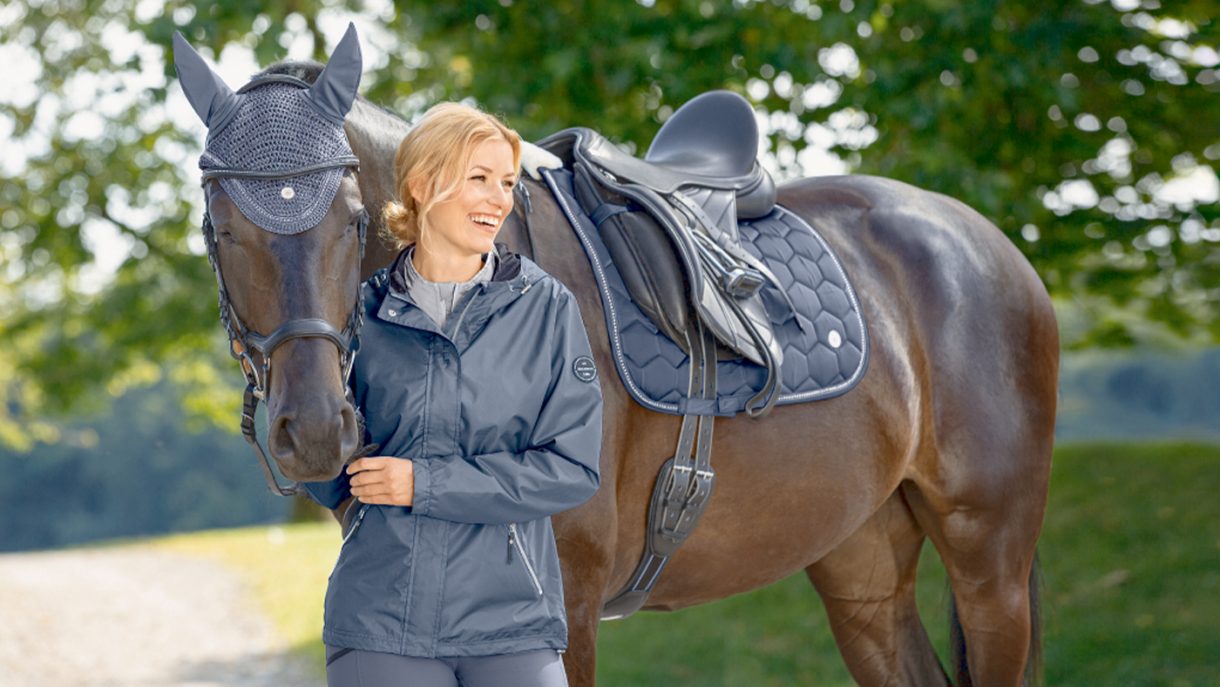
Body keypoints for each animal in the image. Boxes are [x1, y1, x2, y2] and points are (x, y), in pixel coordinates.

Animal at [193, 59, 1057, 686]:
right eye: (224, 228)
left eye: (351, 217)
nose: (314, 428)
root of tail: (990, 243)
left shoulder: (568, 604)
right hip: (863, 559)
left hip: (990, 559)